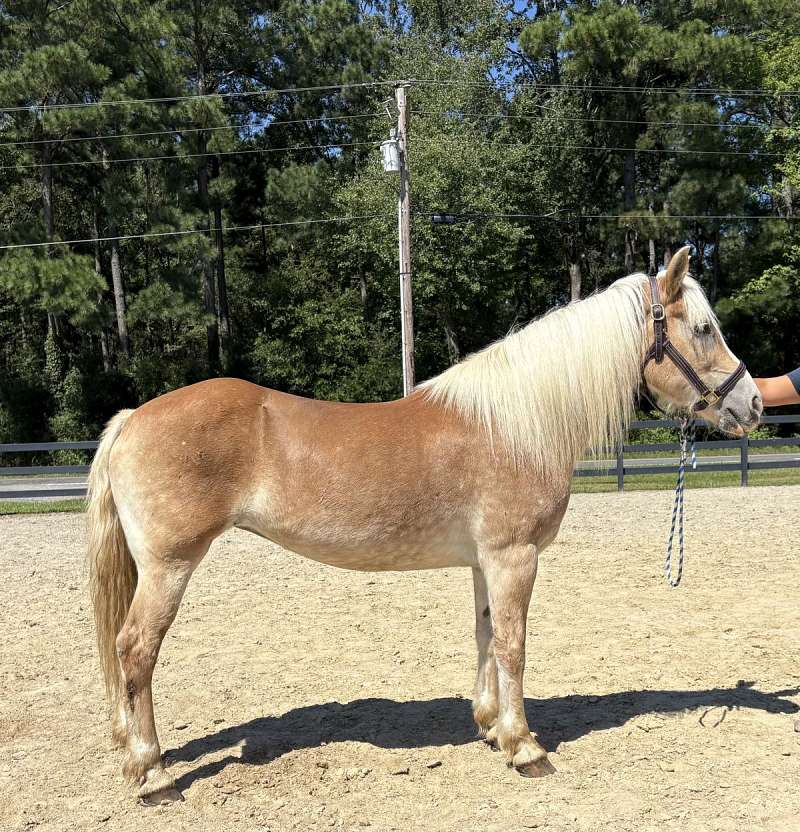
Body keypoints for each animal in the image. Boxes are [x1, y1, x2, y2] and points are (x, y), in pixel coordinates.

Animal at [87, 246, 762, 803]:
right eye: (703, 329)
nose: (752, 403)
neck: (515, 425)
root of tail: (132, 417)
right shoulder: (515, 556)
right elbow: (514, 645)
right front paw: (527, 748)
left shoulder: (487, 562)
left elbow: (487, 636)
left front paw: (492, 728)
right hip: (170, 566)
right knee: (135, 649)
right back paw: (153, 775)